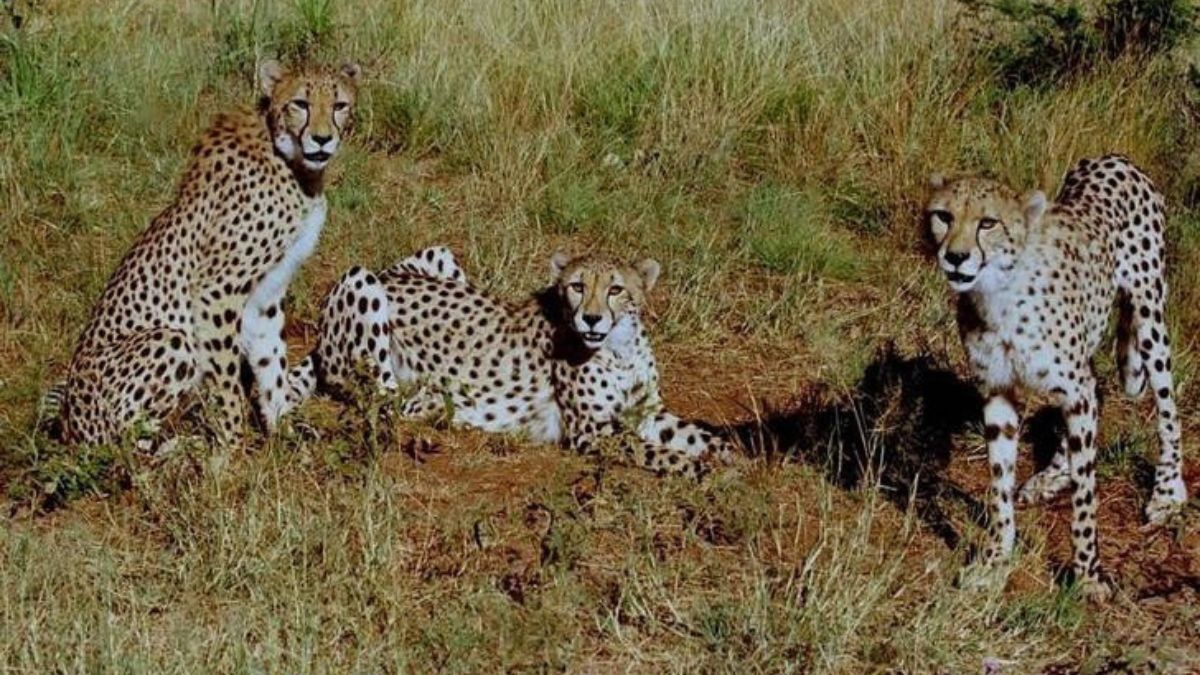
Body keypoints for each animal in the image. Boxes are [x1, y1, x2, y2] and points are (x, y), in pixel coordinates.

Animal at [48, 59, 361, 448]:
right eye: (300, 104)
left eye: (339, 105)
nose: (322, 139)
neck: (292, 163)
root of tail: (69, 424)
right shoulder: (217, 291)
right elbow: (226, 379)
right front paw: (233, 445)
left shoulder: (267, 292)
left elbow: (271, 363)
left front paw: (281, 431)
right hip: (170, 341)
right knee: (125, 444)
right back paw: (179, 447)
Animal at [283, 246, 733, 477]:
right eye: (577, 286)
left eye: (616, 290)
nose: (591, 318)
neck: (619, 348)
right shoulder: (591, 431)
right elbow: (654, 451)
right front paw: (698, 468)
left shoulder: (647, 412)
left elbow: (697, 436)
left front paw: (726, 456)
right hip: (362, 281)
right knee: (384, 402)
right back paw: (440, 406)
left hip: (437, 255)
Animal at [926, 154, 1187, 600]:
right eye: (944, 216)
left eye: (987, 223)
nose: (955, 257)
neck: (999, 294)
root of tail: (1114, 157)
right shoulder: (998, 392)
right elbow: (999, 486)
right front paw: (997, 560)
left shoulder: (1074, 389)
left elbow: (1086, 498)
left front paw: (1088, 575)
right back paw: (1053, 474)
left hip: (1149, 314)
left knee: (1167, 408)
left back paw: (1168, 492)